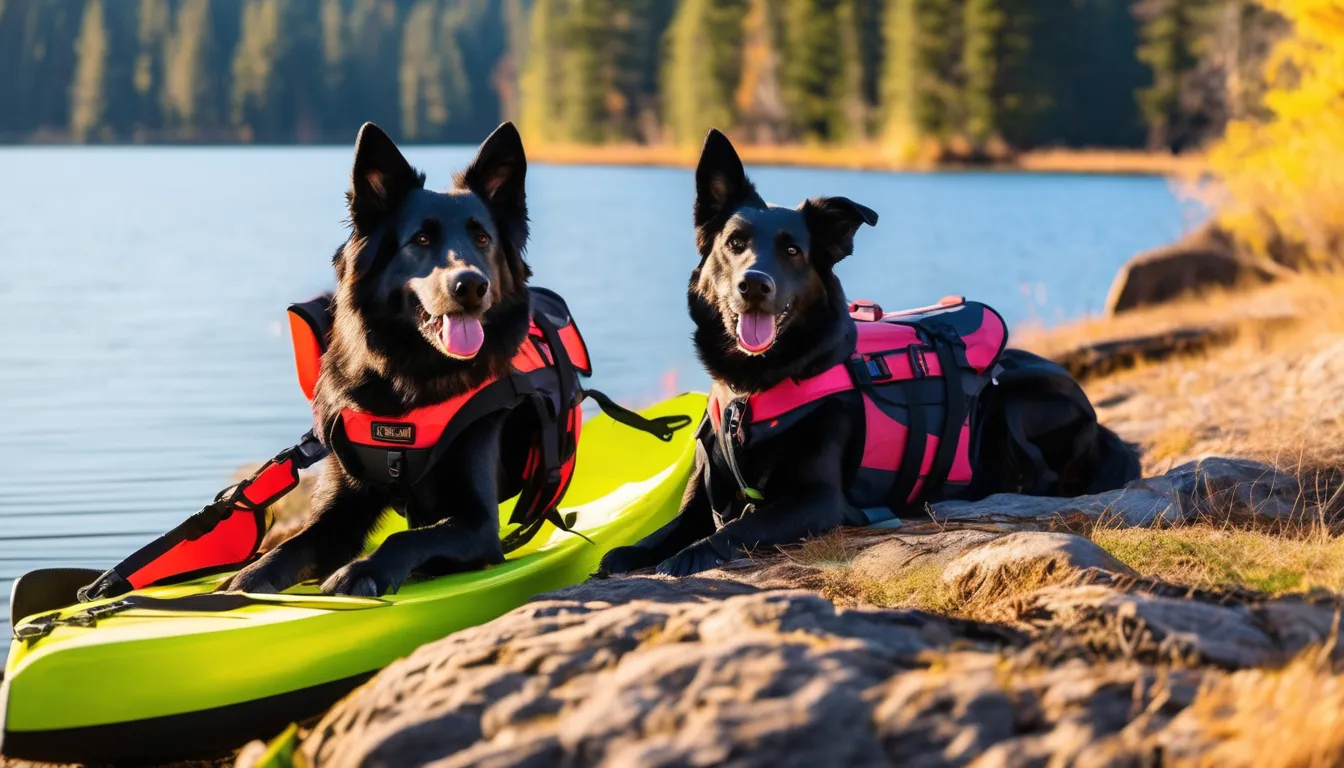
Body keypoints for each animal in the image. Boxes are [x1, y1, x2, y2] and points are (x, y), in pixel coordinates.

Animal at [599, 129, 1134, 581]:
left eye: (792, 251)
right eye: (734, 244)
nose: (755, 284)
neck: (754, 388)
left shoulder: (815, 499)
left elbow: (735, 527)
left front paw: (689, 555)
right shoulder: (701, 493)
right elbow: (666, 529)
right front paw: (631, 552)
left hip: (1017, 398)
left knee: (1041, 473)